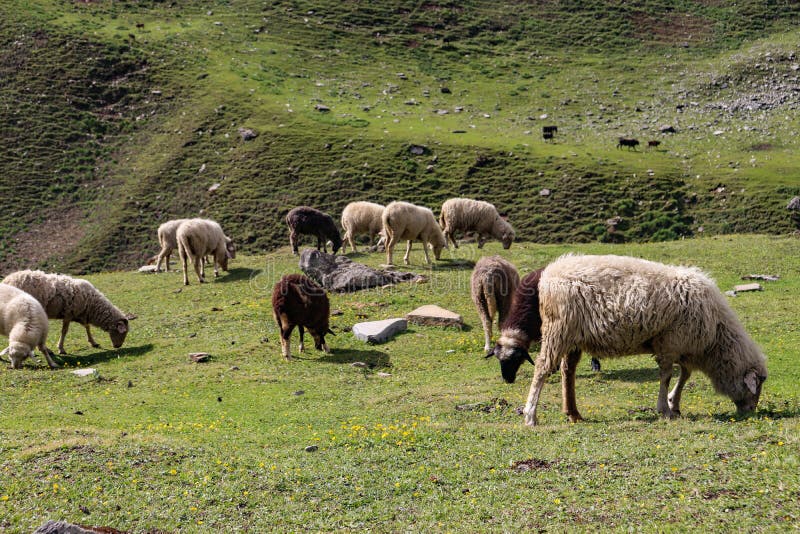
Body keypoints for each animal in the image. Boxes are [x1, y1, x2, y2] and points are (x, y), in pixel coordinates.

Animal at [2, 270, 135, 355]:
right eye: (123, 332)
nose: (117, 346)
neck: (92, 304)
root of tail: (6, 280)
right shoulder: (68, 314)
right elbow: (64, 331)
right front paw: (61, 349)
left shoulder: (81, 314)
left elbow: (87, 327)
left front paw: (93, 342)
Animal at [488, 254, 768, 426]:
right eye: (755, 387)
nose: (750, 412)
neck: (715, 338)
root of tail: (548, 275)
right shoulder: (671, 342)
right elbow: (667, 375)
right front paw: (665, 409)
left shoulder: (682, 346)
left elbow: (684, 374)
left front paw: (674, 404)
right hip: (559, 329)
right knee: (542, 369)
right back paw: (531, 416)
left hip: (572, 335)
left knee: (567, 371)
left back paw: (573, 414)